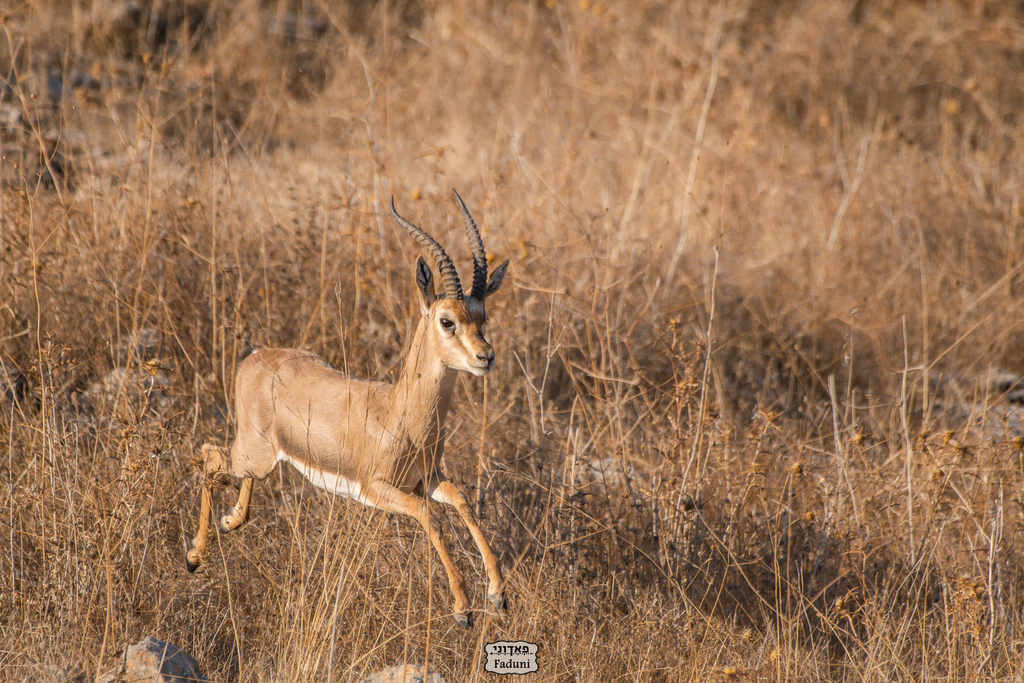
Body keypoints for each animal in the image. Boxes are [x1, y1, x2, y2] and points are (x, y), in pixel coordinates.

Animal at [185, 191, 509, 628]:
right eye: (447, 321)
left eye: (482, 317)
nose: (485, 357)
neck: (401, 415)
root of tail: (254, 356)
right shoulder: (377, 488)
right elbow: (428, 516)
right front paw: (462, 609)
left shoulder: (426, 479)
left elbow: (462, 502)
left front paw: (497, 594)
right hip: (255, 453)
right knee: (208, 455)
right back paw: (193, 556)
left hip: (262, 459)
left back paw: (230, 521)